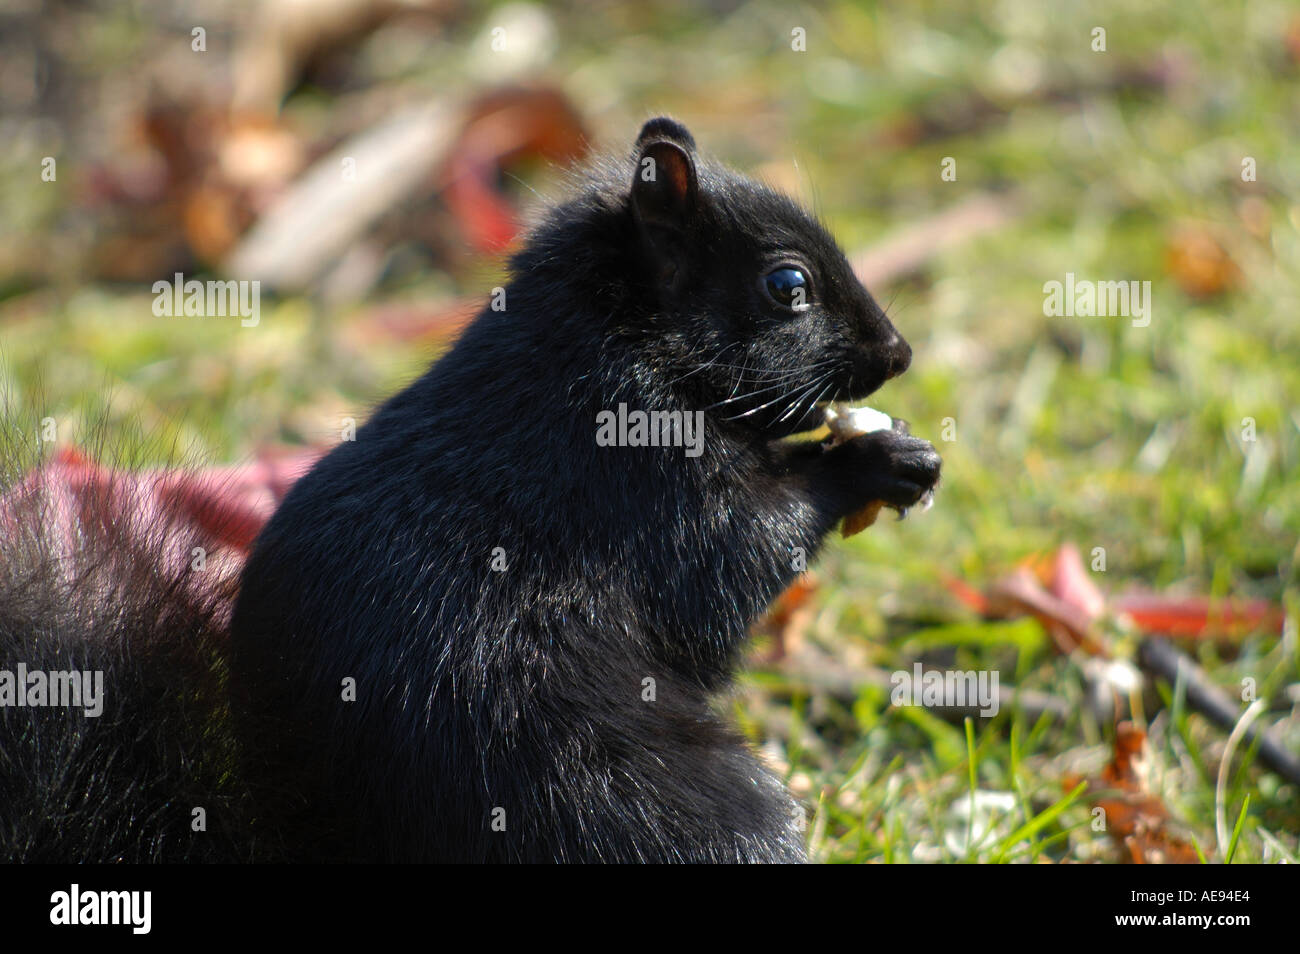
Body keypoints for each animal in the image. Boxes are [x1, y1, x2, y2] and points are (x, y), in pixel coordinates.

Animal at [1, 118, 941, 863]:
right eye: (788, 286)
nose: (897, 355)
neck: (611, 344)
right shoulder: (631, 479)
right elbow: (723, 576)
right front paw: (872, 463)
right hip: (624, 796)